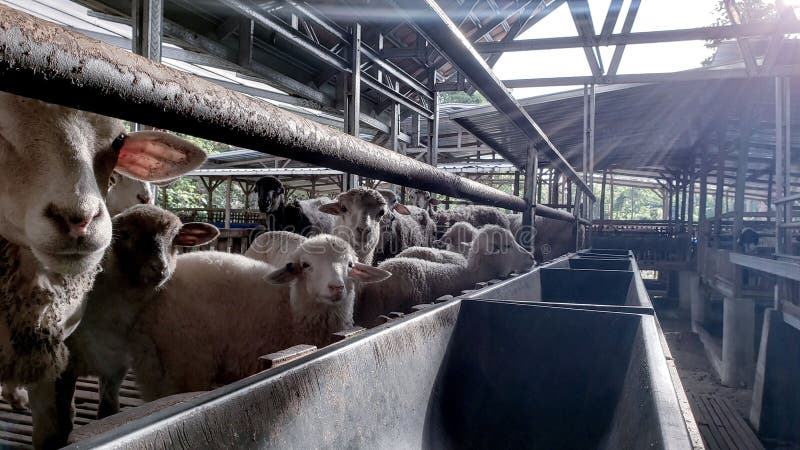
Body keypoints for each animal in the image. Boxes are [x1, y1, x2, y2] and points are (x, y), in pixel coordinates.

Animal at [47, 205, 218, 444]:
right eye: (125, 235)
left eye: (175, 237)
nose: (160, 267)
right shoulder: (64, 368)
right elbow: (63, 421)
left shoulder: (115, 366)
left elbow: (108, 412)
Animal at [129, 235, 390, 401]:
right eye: (306, 265)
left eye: (350, 265)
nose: (336, 287)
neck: (291, 311)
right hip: (187, 358)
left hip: (152, 363)